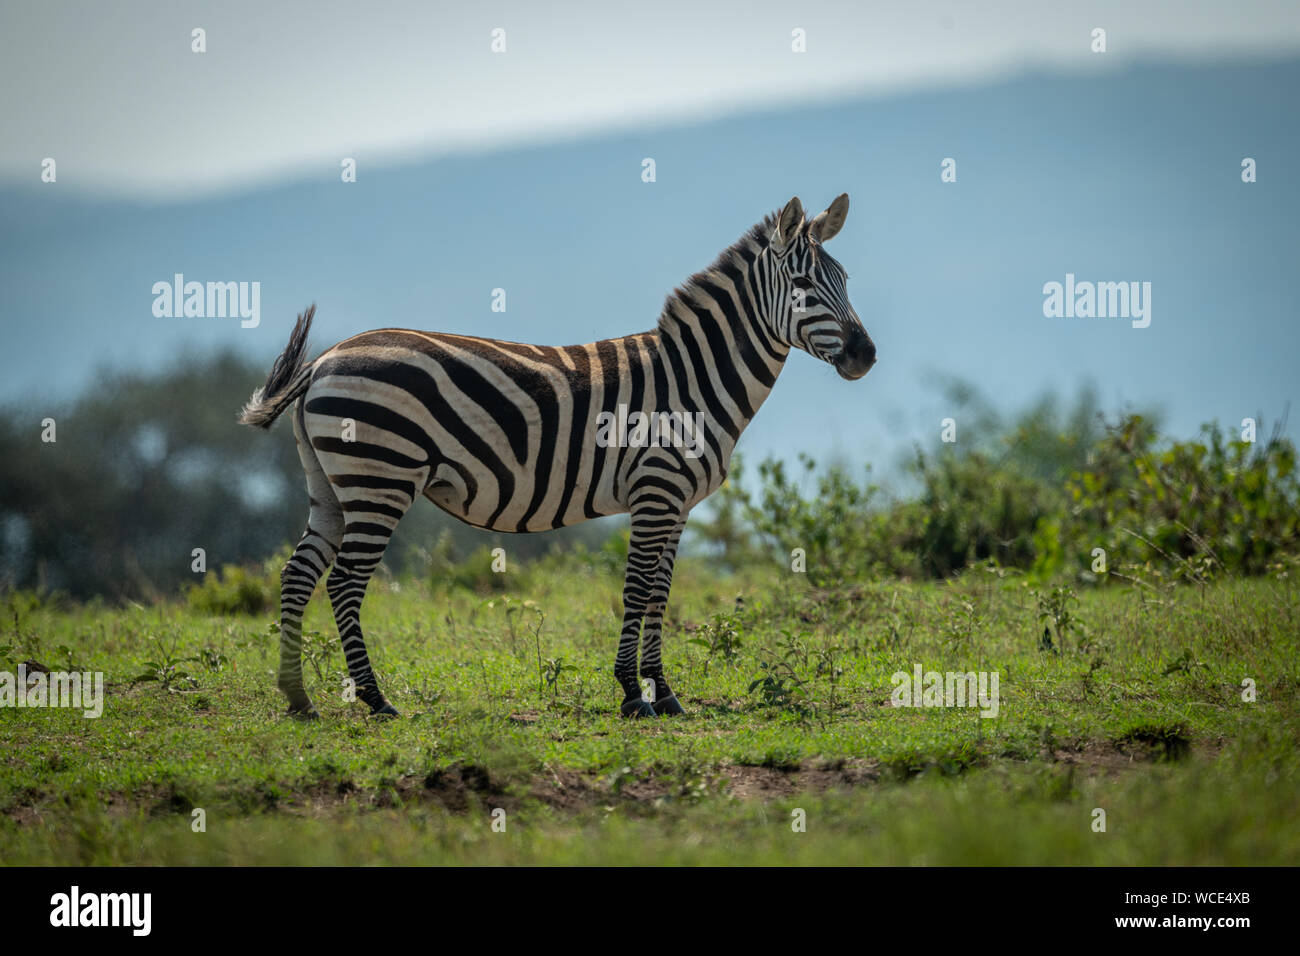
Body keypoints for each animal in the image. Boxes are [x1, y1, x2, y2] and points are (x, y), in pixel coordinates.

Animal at [239, 194, 875, 719]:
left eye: (845, 279)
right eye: (802, 282)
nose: (866, 355)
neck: (694, 379)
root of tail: (324, 360)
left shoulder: (678, 504)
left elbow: (661, 593)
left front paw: (665, 694)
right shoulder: (655, 490)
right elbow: (637, 588)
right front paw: (631, 694)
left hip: (332, 485)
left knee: (298, 573)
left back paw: (298, 699)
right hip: (380, 478)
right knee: (345, 581)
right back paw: (375, 700)